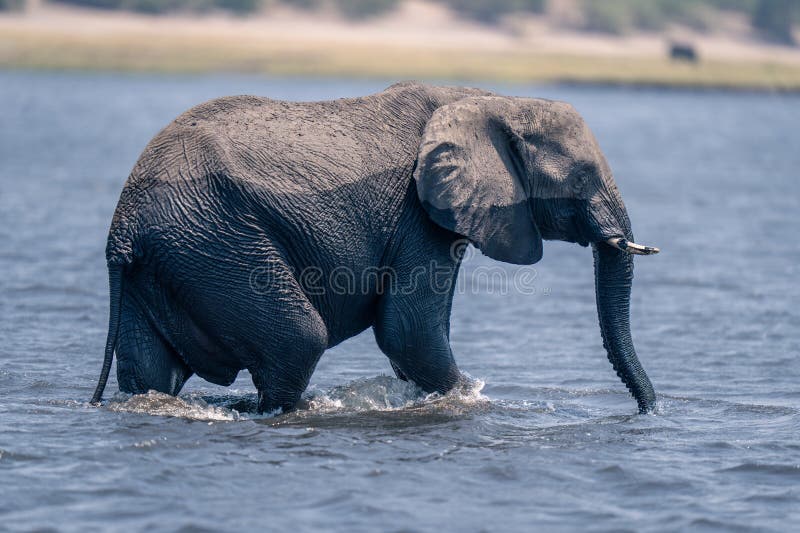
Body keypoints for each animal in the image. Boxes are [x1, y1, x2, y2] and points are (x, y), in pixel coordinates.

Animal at [91, 81, 660, 414]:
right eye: (583, 177)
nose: (647, 414)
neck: (493, 98)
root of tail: (123, 225)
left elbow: (415, 335)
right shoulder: (418, 213)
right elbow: (409, 331)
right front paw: (467, 403)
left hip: (171, 258)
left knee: (151, 370)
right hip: (215, 241)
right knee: (299, 341)